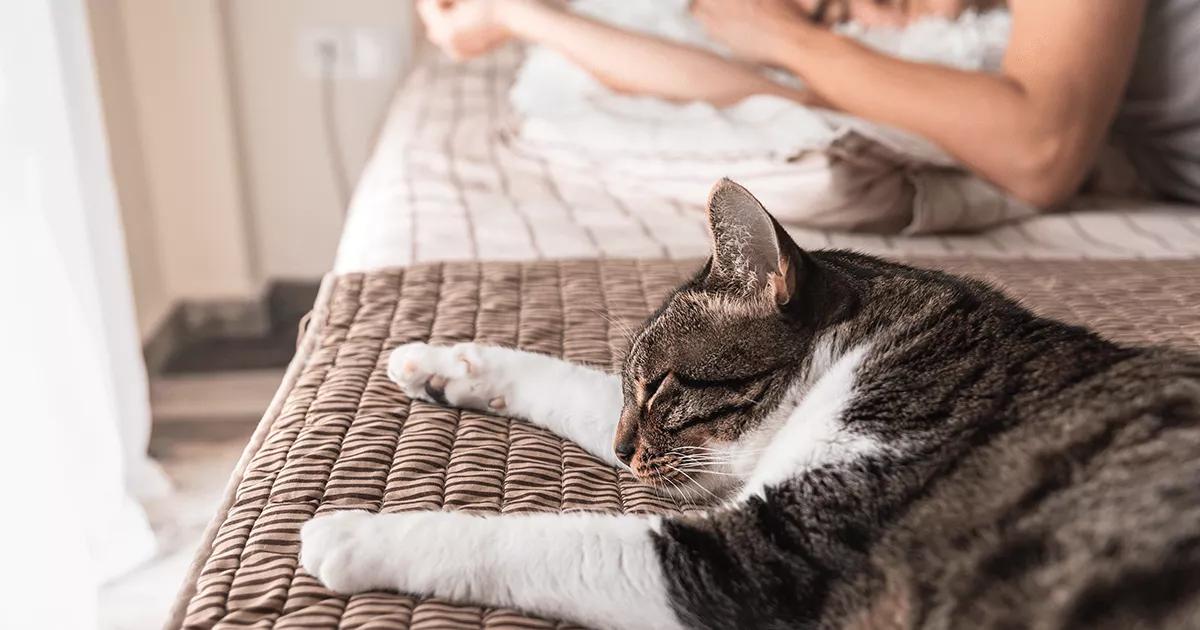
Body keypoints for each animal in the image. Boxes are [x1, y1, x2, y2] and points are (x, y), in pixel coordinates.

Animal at [300, 177, 1200, 628]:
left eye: (661, 385)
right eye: (633, 387)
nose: (624, 452)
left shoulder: (766, 557)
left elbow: (535, 543)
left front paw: (350, 532)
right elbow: (568, 382)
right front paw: (440, 359)